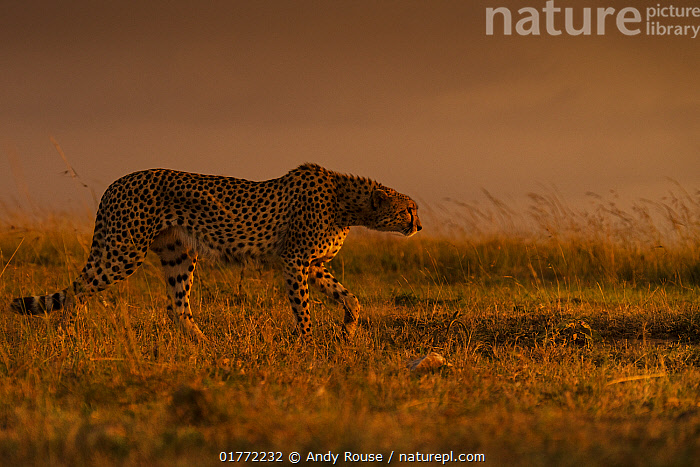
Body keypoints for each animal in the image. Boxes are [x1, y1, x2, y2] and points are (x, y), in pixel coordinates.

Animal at [10, 163, 422, 341]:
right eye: (409, 209)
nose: (419, 226)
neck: (348, 203)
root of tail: (117, 181)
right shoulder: (295, 262)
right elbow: (303, 308)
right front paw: (308, 342)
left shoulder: (314, 265)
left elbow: (350, 297)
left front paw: (348, 328)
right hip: (122, 252)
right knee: (77, 290)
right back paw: (66, 334)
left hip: (178, 255)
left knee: (177, 308)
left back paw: (204, 345)